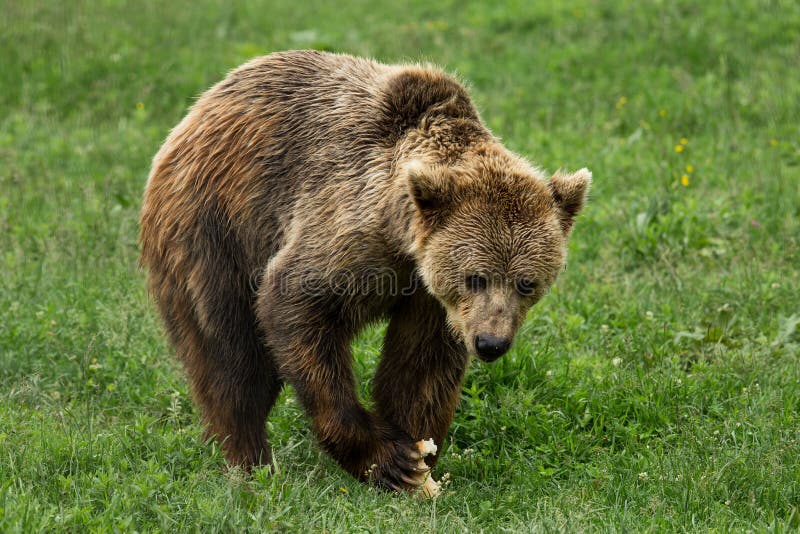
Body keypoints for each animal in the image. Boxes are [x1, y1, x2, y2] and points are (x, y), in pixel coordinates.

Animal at [139, 50, 590, 492]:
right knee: (231, 358)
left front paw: (418, 454)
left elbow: (419, 367)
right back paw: (251, 464)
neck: (402, 233)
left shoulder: (430, 295)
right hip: (214, 233)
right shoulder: (351, 230)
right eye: (475, 277)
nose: (490, 343)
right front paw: (389, 461)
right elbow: (297, 305)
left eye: (527, 283)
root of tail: (193, 114)